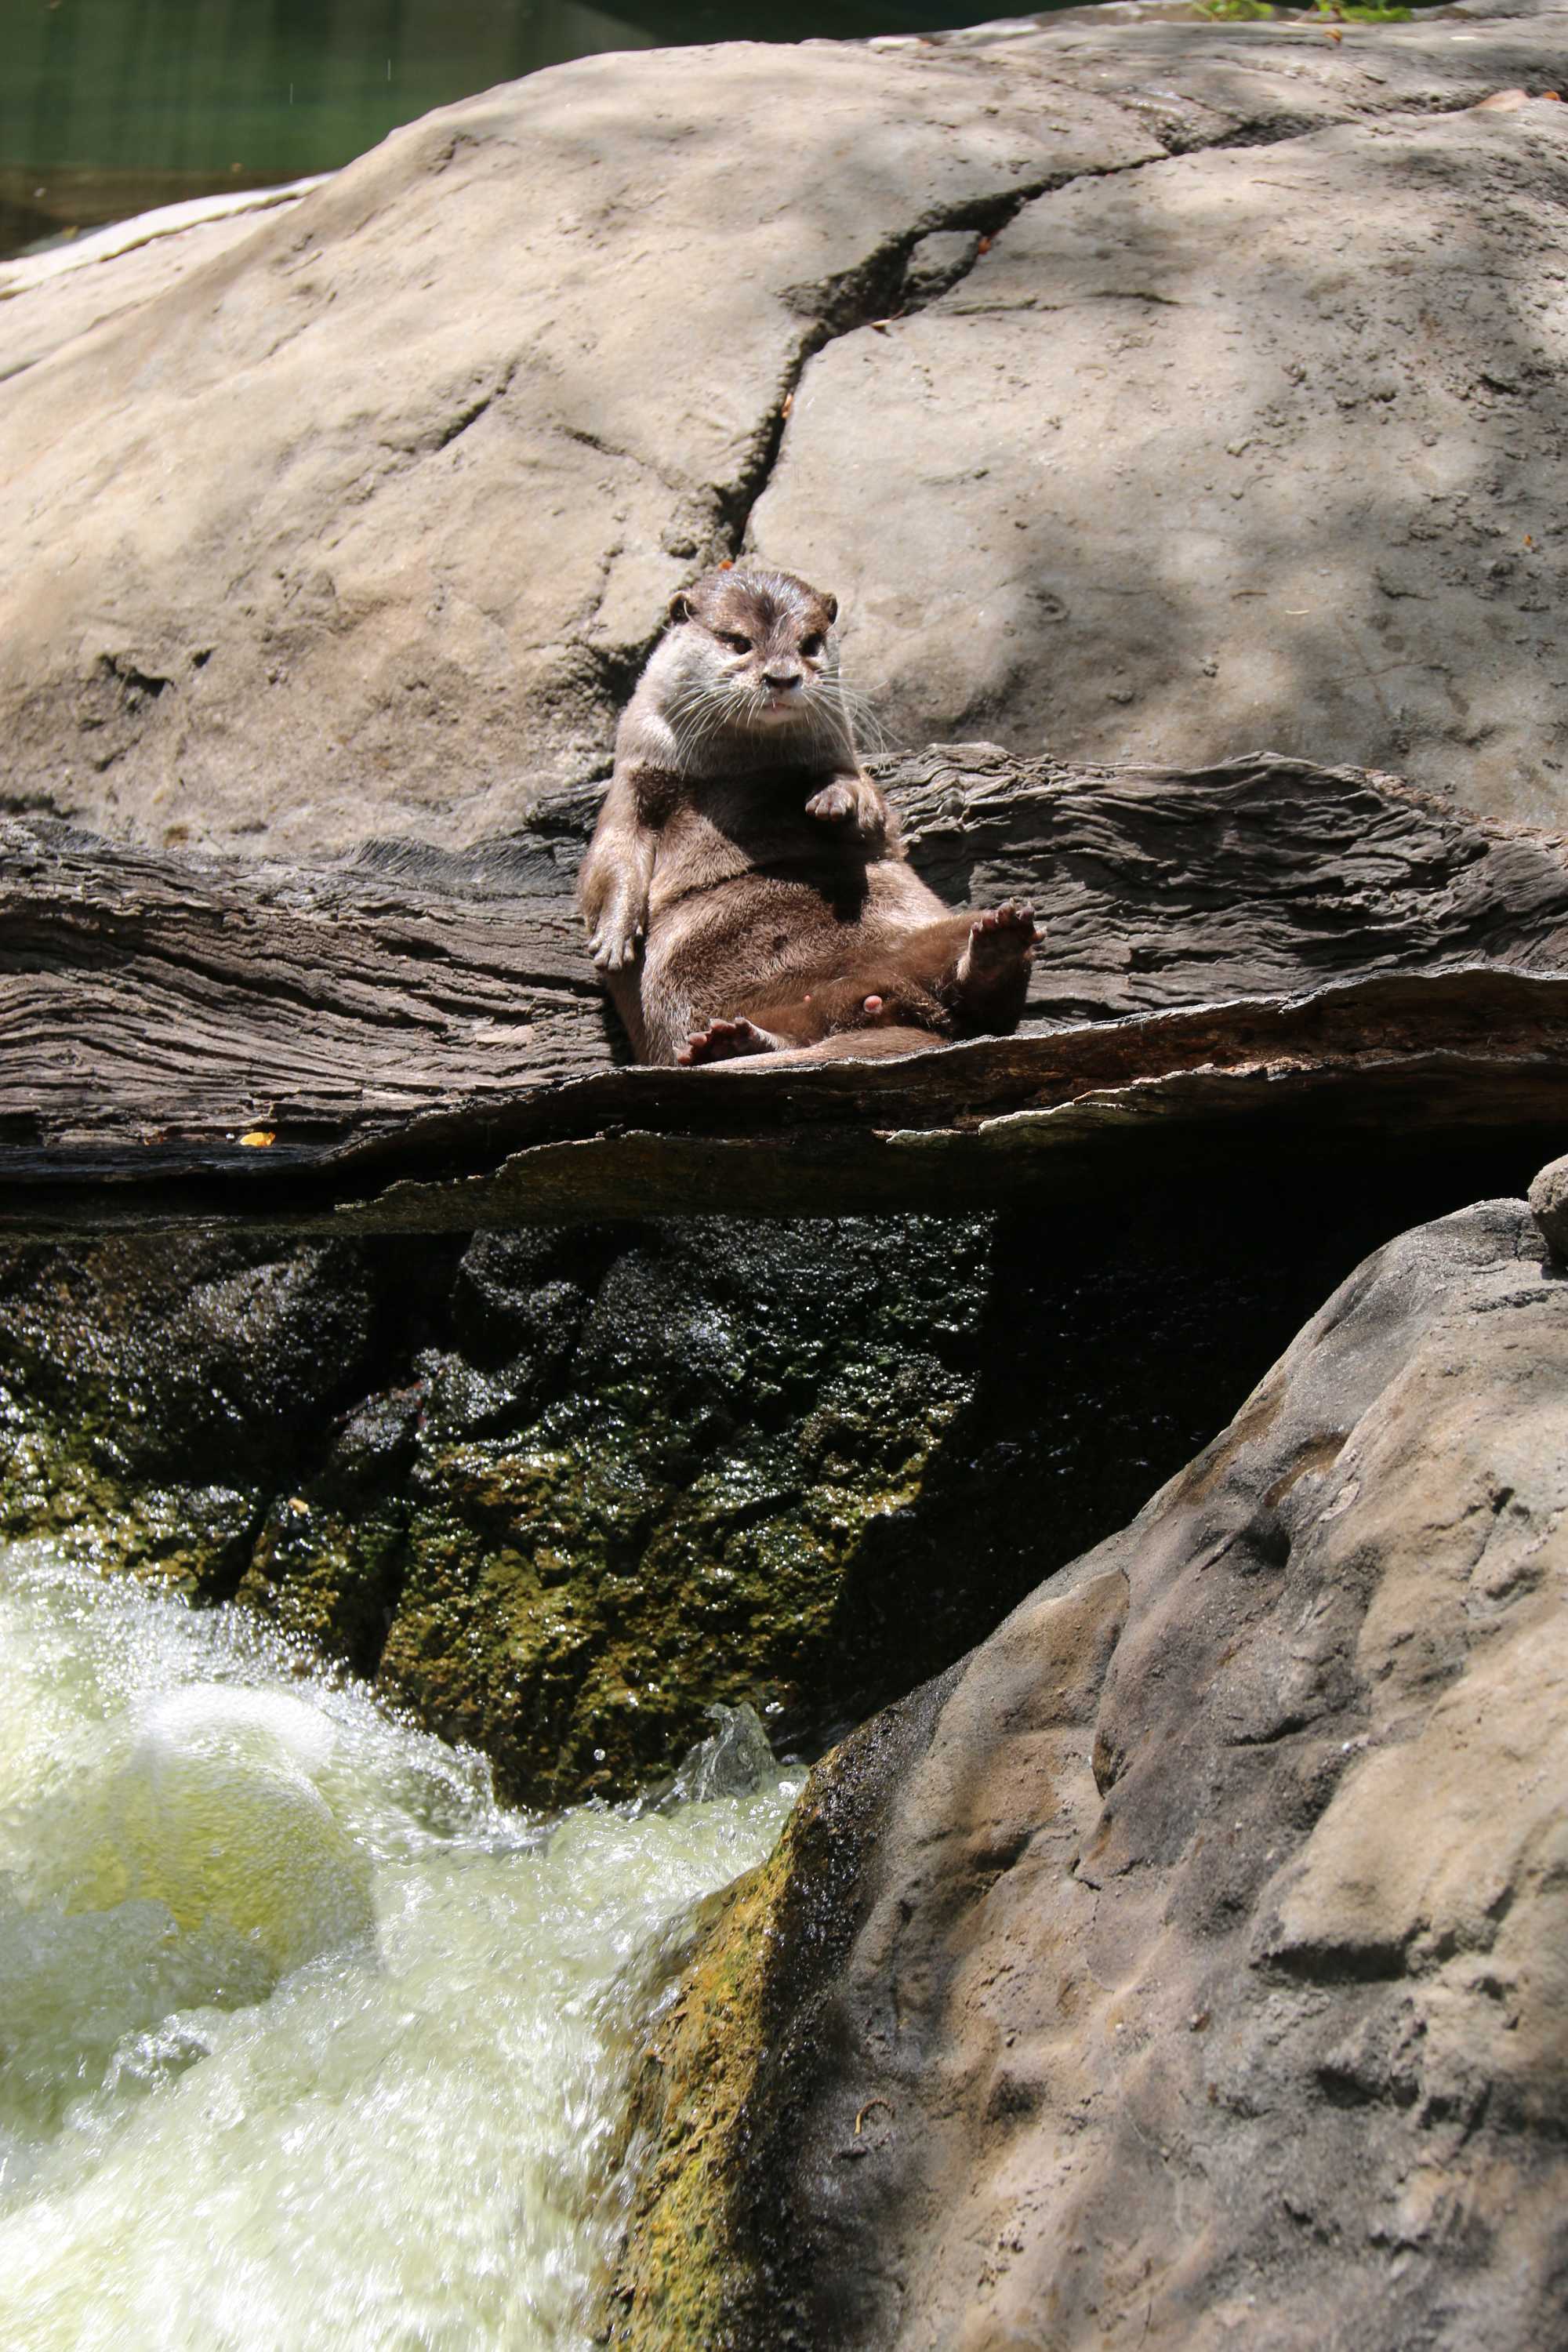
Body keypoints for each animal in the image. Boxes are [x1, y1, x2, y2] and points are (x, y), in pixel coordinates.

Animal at [578, 566, 1036, 1066]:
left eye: (810, 643)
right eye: (738, 642)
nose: (782, 677)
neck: (735, 767)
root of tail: (875, 997)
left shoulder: (843, 758)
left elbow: (870, 807)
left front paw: (835, 802)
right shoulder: (635, 778)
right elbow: (613, 851)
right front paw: (614, 938)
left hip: (926, 938)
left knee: (982, 1009)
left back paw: (999, 941)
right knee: (796, 1033)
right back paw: (726, 1043)